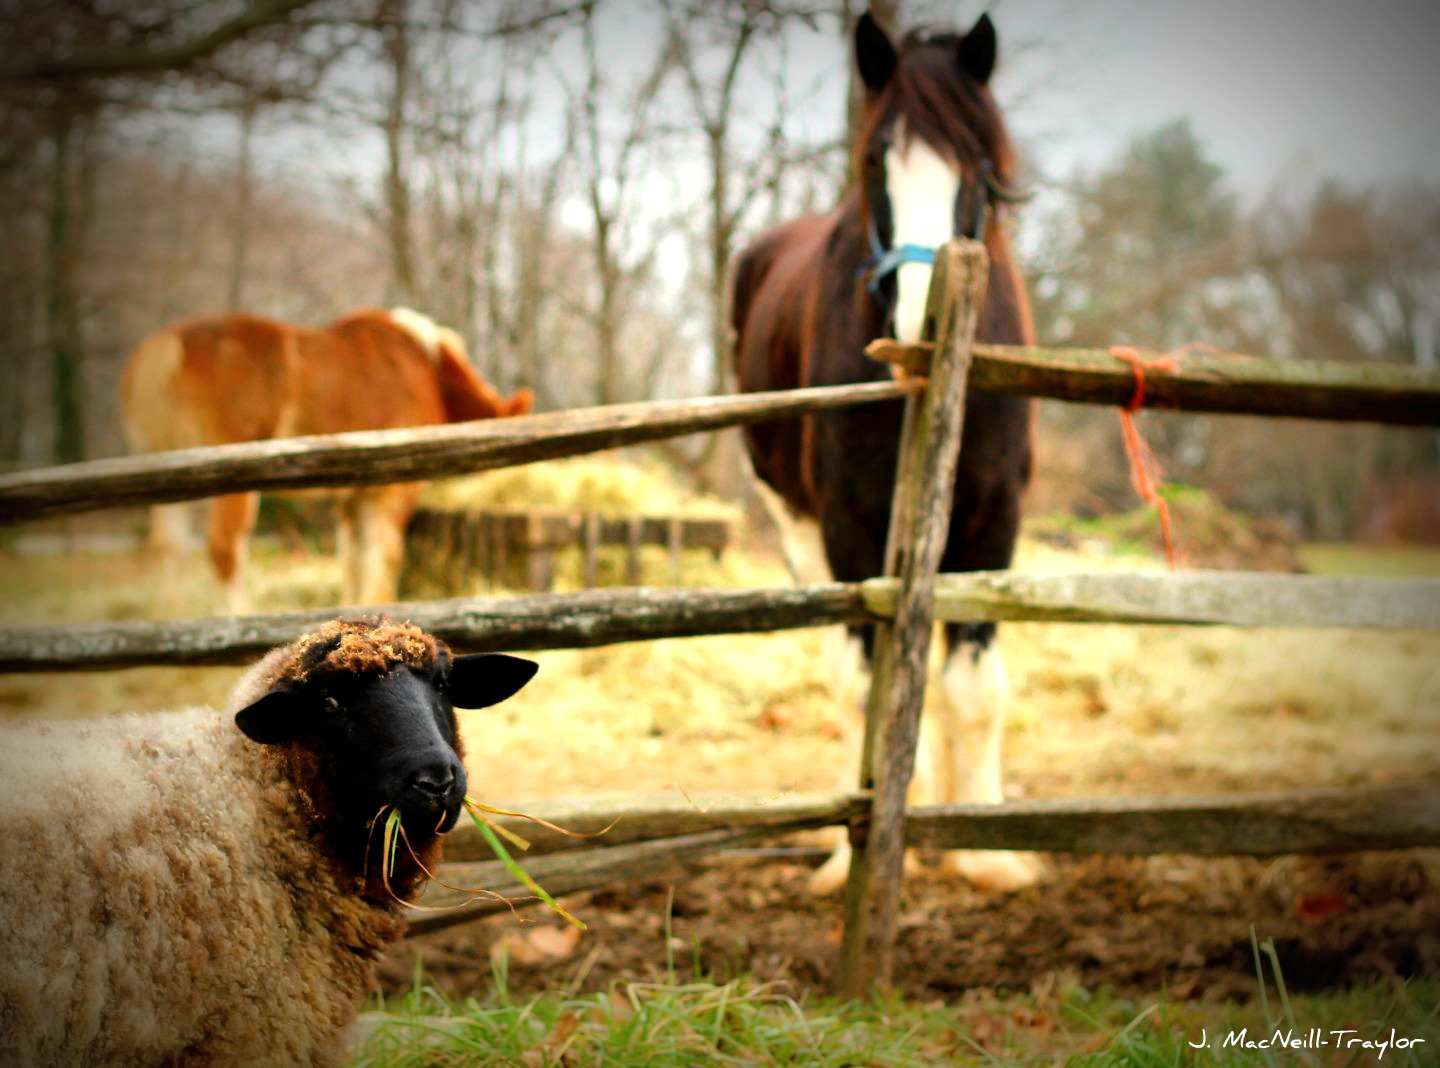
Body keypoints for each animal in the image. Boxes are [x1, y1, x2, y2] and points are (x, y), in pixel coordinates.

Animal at [121, 307, 533, 612]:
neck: (426, 367)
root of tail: (165, 346)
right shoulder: (391, 494)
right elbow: (385, 557)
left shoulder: (353, 500)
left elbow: (352, 561)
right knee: (224, 547)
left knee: (168, 548)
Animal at [731, 11, 1043, 894]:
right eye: (875, 161)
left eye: (978, 165)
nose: (917, 323)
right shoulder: (848, 527)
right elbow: (867, 685)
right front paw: (852, 855)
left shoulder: (993, 520)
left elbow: (971, 686)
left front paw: (986, 852)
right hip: (798, 526)